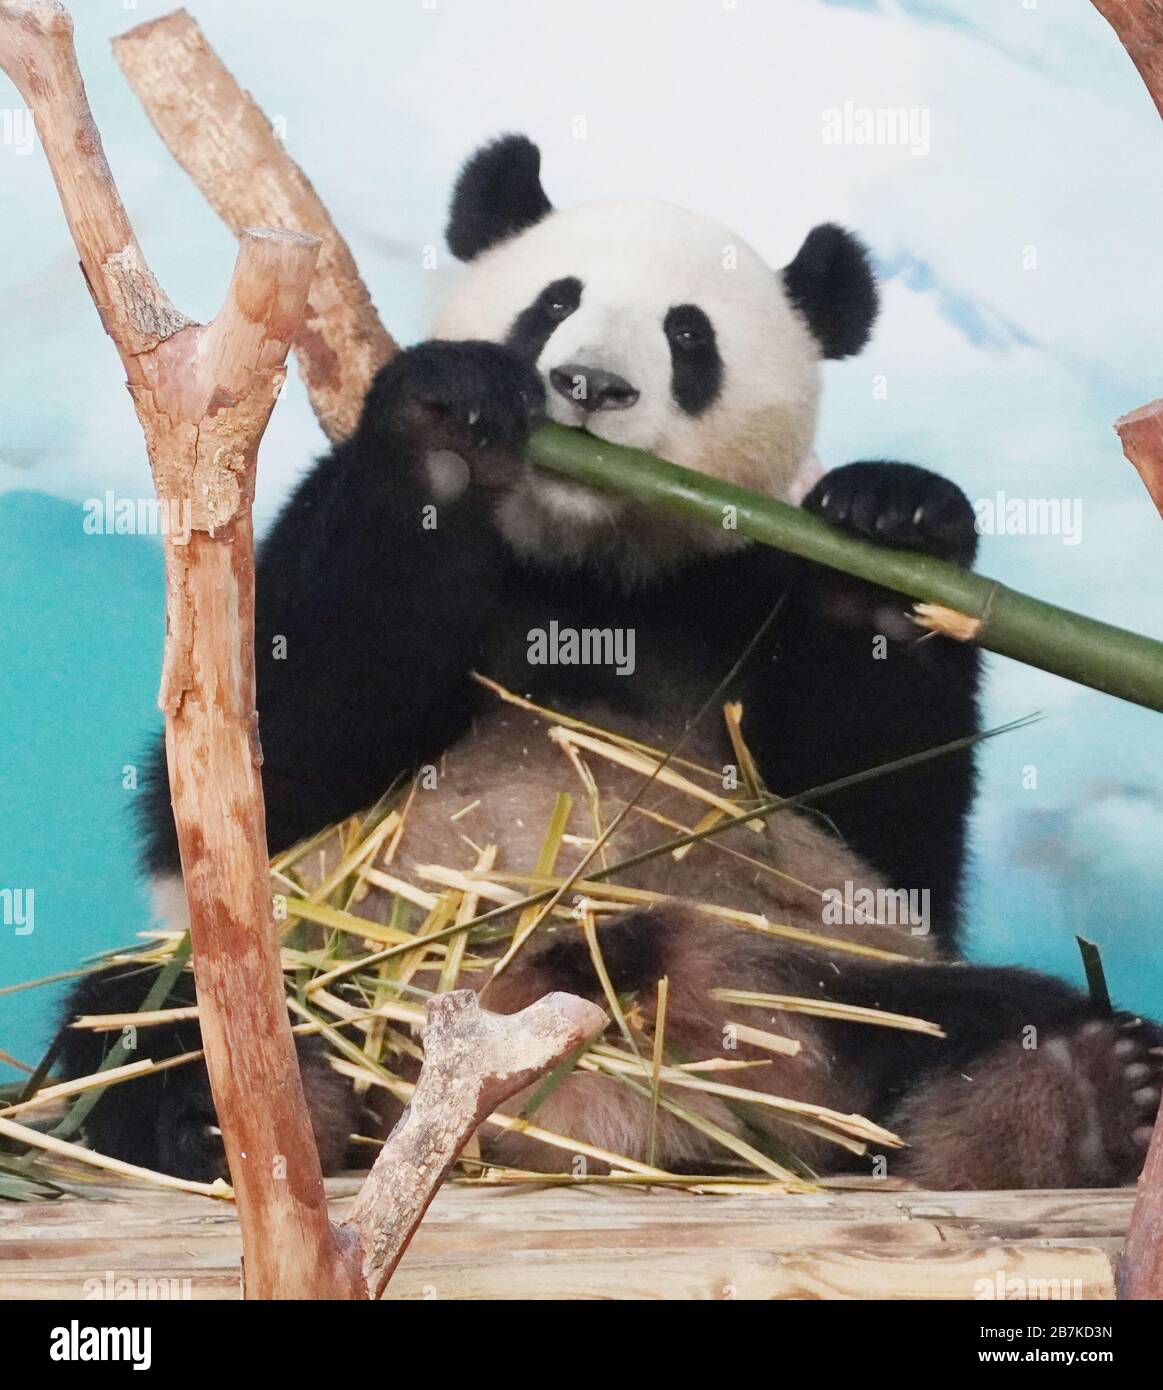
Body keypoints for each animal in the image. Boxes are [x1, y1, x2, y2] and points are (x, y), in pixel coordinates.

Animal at [60, 134, 1162, 1190]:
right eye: (555, 300)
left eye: (688, 335)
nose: (589, 386)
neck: (591, 567)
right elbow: (275, 760)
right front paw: (445, 426)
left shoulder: (738, 594)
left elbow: (892, 843)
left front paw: (889, 523)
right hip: (327, 973)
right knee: (142, 1018)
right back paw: (215, 1121)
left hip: (814, 976)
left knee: (971, 1009)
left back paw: (1077, 1096)